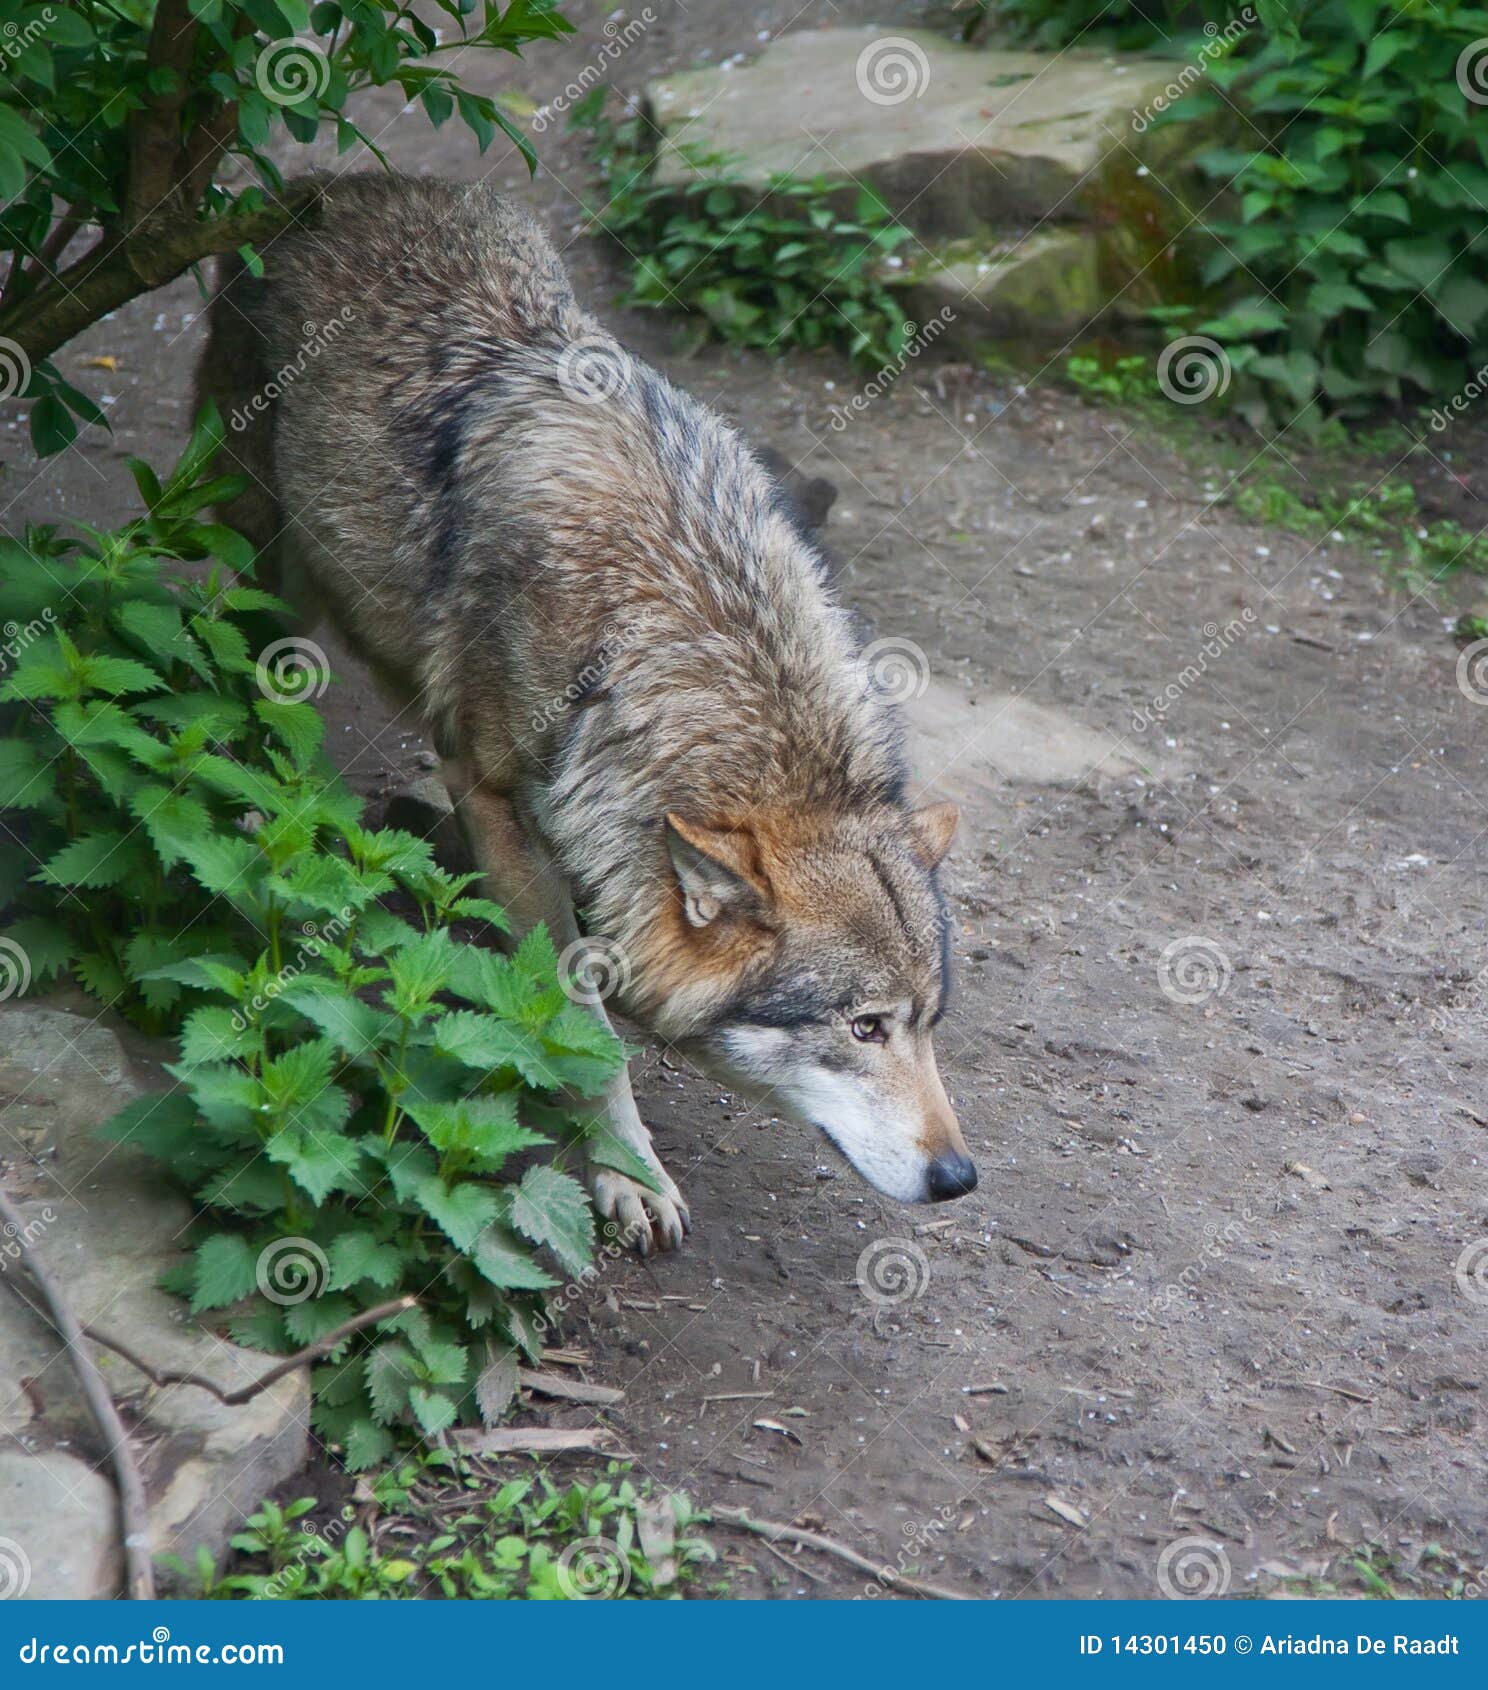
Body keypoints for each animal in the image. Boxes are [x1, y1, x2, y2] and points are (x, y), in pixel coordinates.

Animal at [196, 174, 977, 1253]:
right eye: (865, 1026)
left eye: (930, 1022)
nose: (959, 1177)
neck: (685, 623)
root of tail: (318, 184)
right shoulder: (498, 799)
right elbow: (580, 1024)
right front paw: (627, 1175)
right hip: (269, 559)